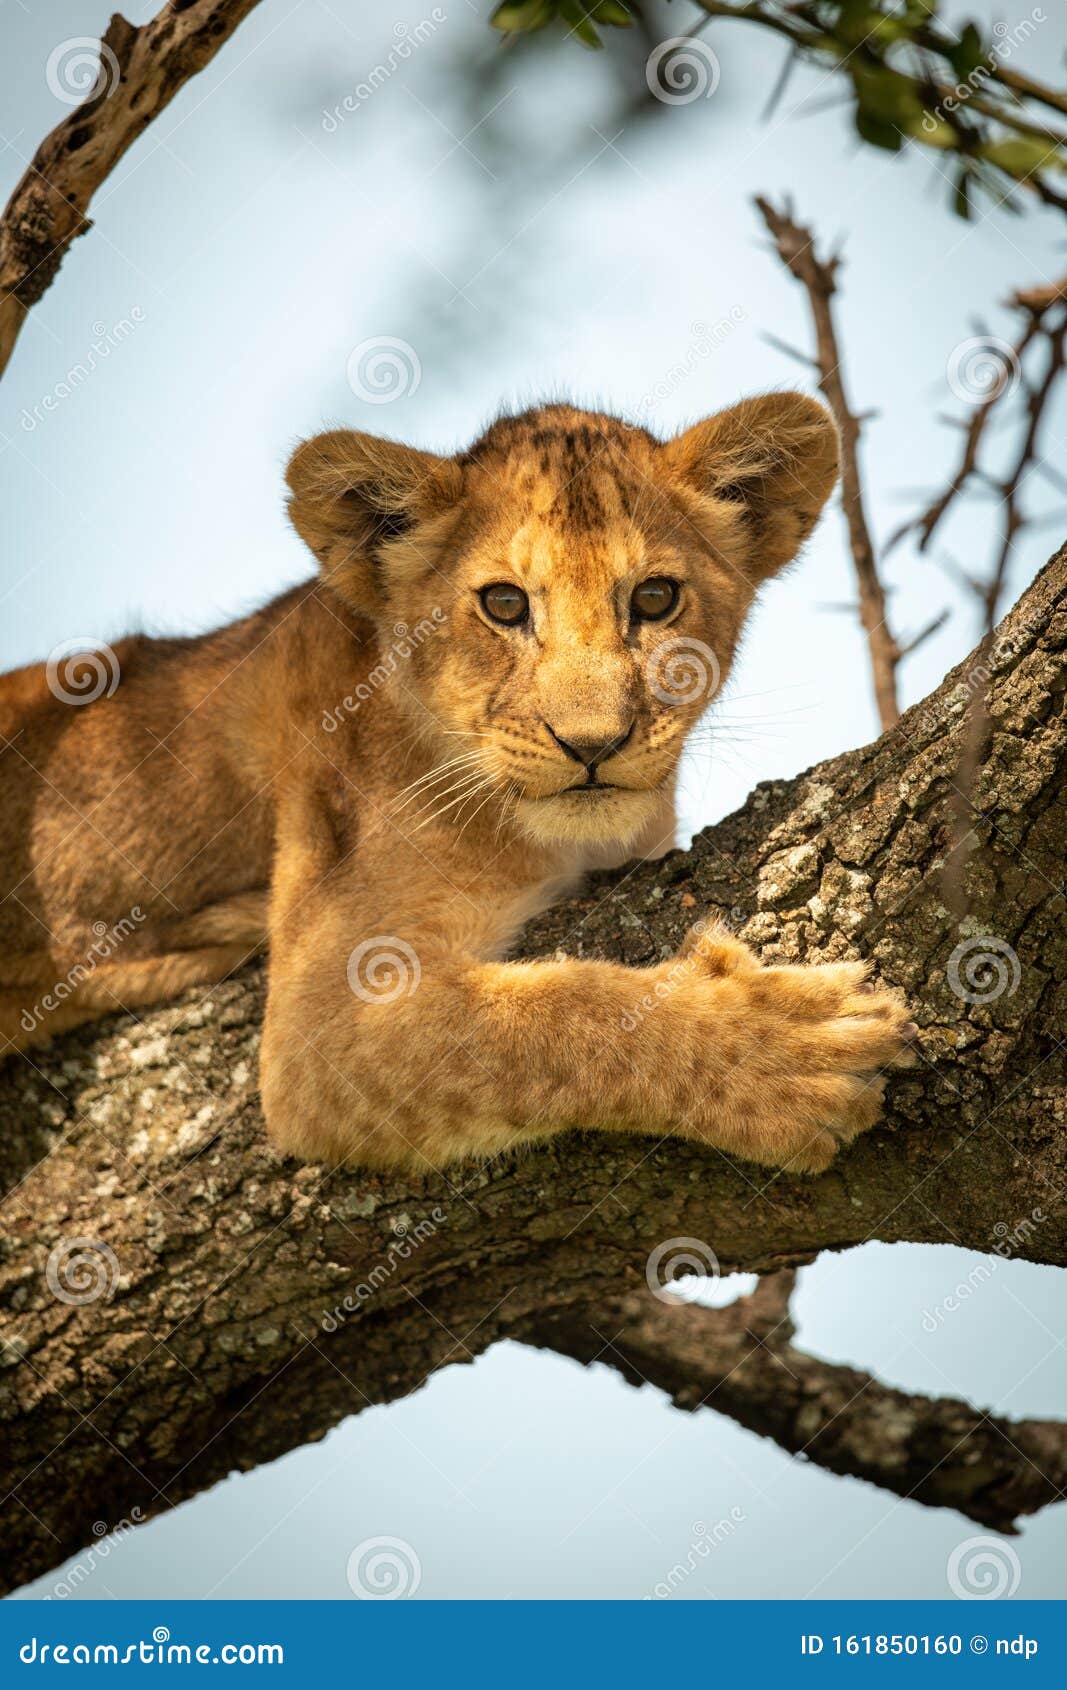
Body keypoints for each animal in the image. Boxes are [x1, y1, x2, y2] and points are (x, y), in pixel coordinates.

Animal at [0, 395, 916, 1173]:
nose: (593, 744)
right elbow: (551, 1022)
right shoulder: (321, 1021)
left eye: (655, 598)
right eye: (504, 605)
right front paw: (791, 1051)